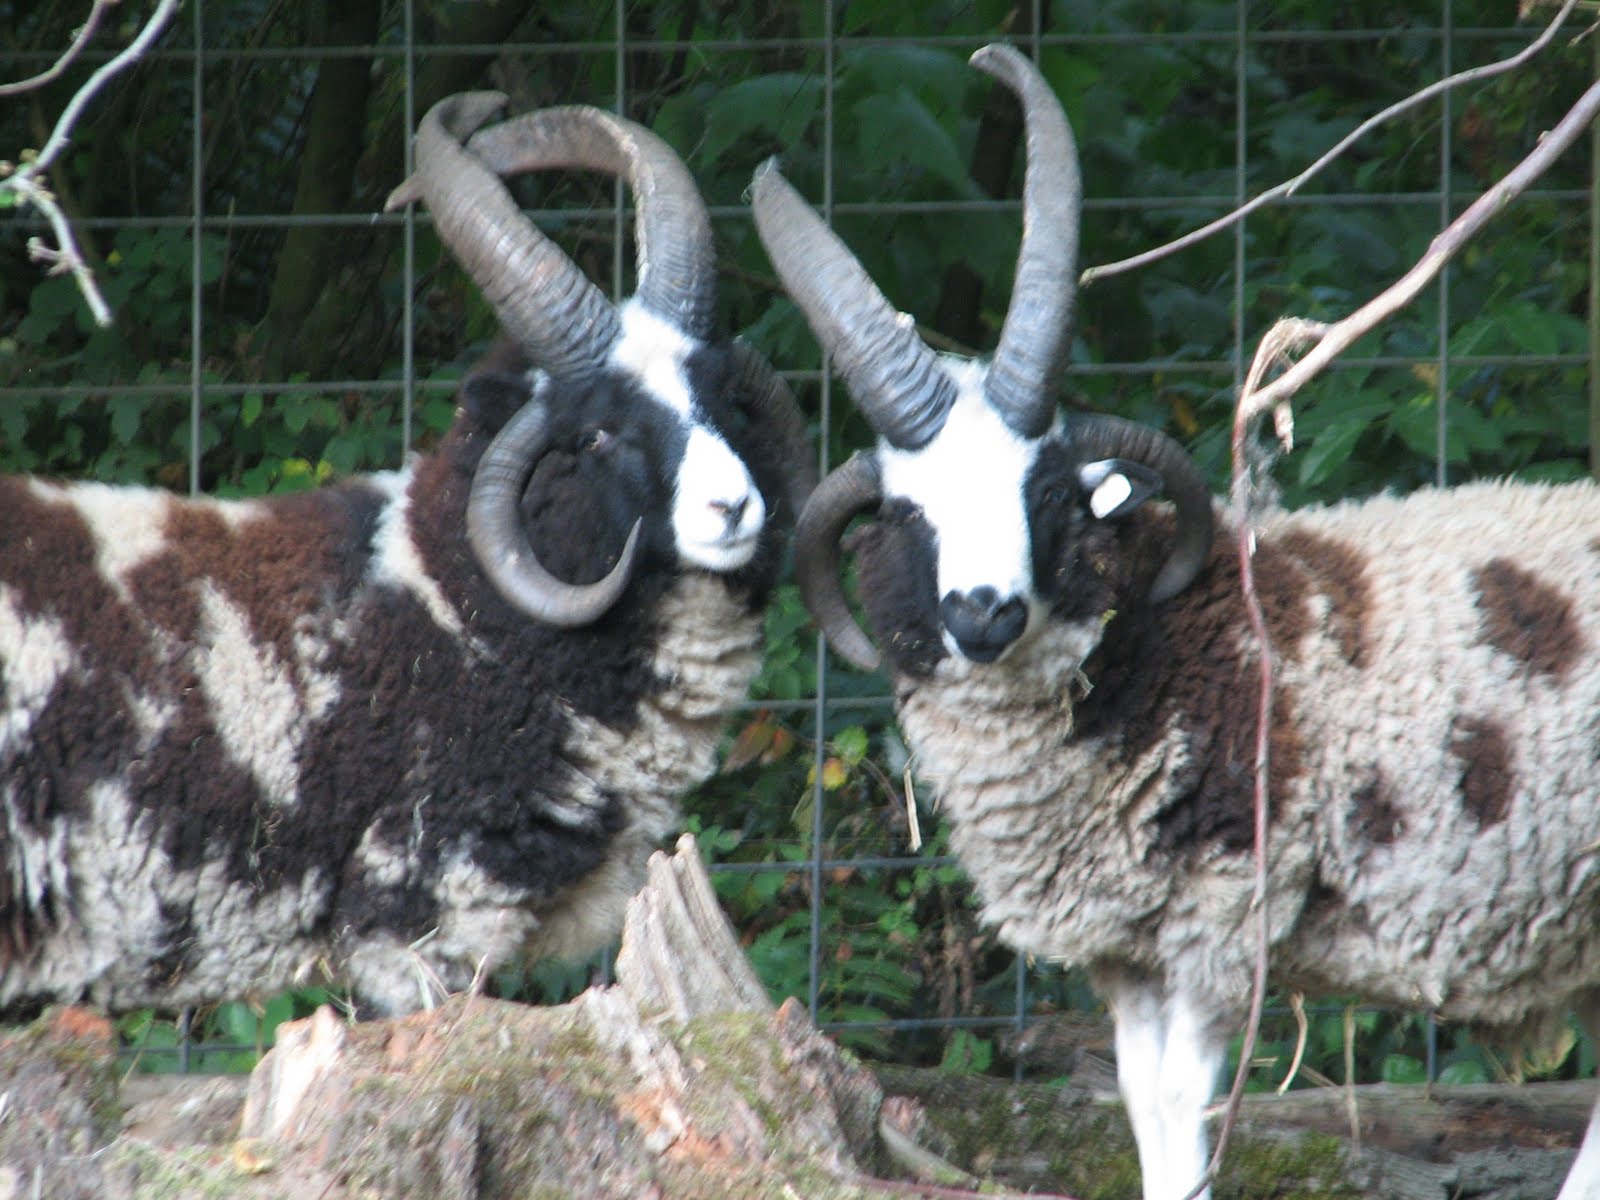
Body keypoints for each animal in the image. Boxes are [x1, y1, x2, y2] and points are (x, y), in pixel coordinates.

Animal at [752, 42, 1600, 1200]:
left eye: (1049, 495)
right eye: (909, 514)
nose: (983, 614)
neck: (1148, 651)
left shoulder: (1222, 911)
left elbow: (1182, 1113)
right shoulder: (1129, 947)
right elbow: (1143, 1110)